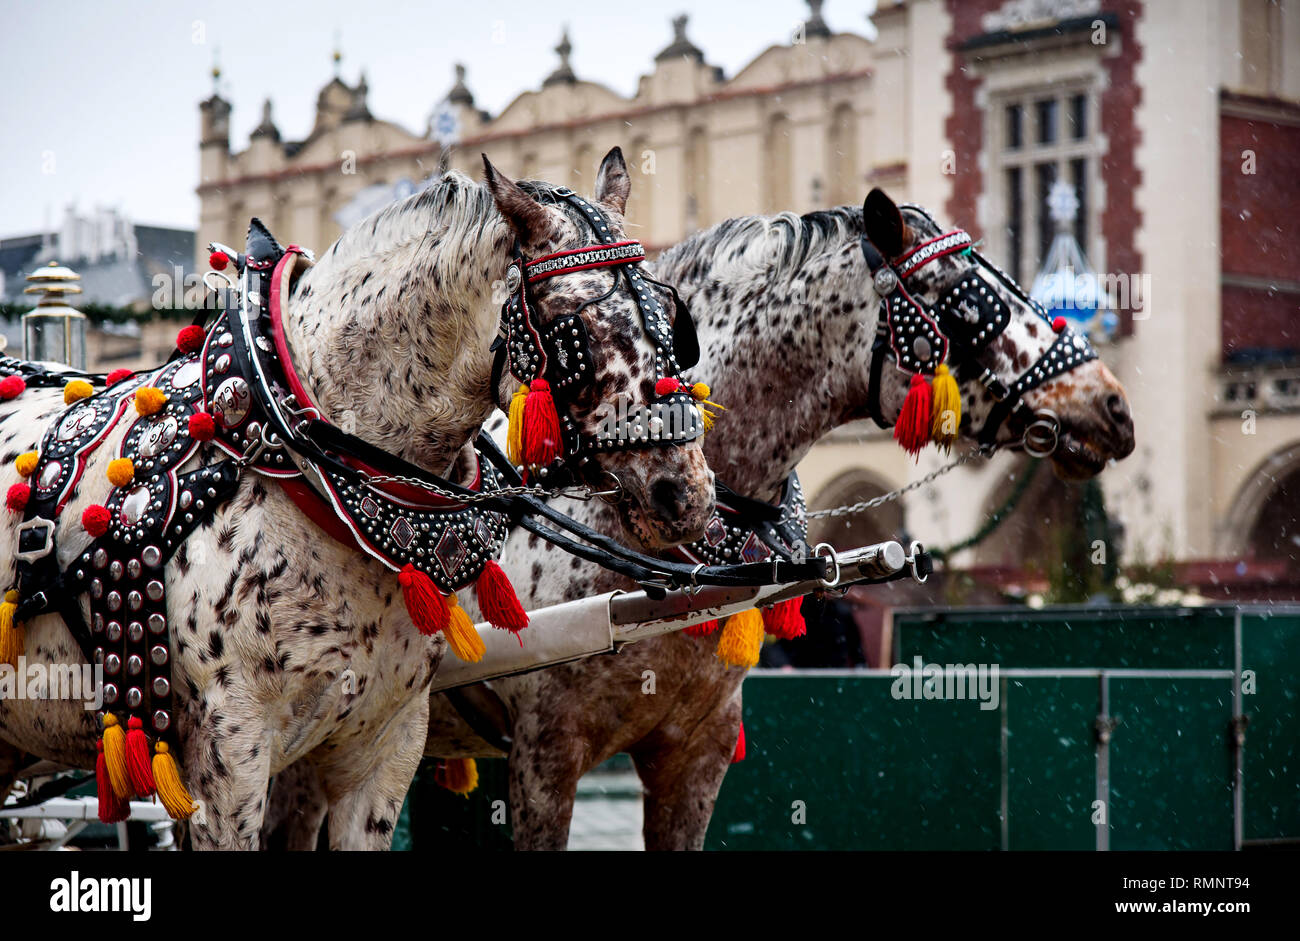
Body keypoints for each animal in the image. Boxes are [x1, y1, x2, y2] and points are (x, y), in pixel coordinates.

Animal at [0, 147, 715, 849]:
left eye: (673, 318)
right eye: (577, 329)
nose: (687, 494)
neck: (304, 459)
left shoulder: (384, 745)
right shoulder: (226, 760)